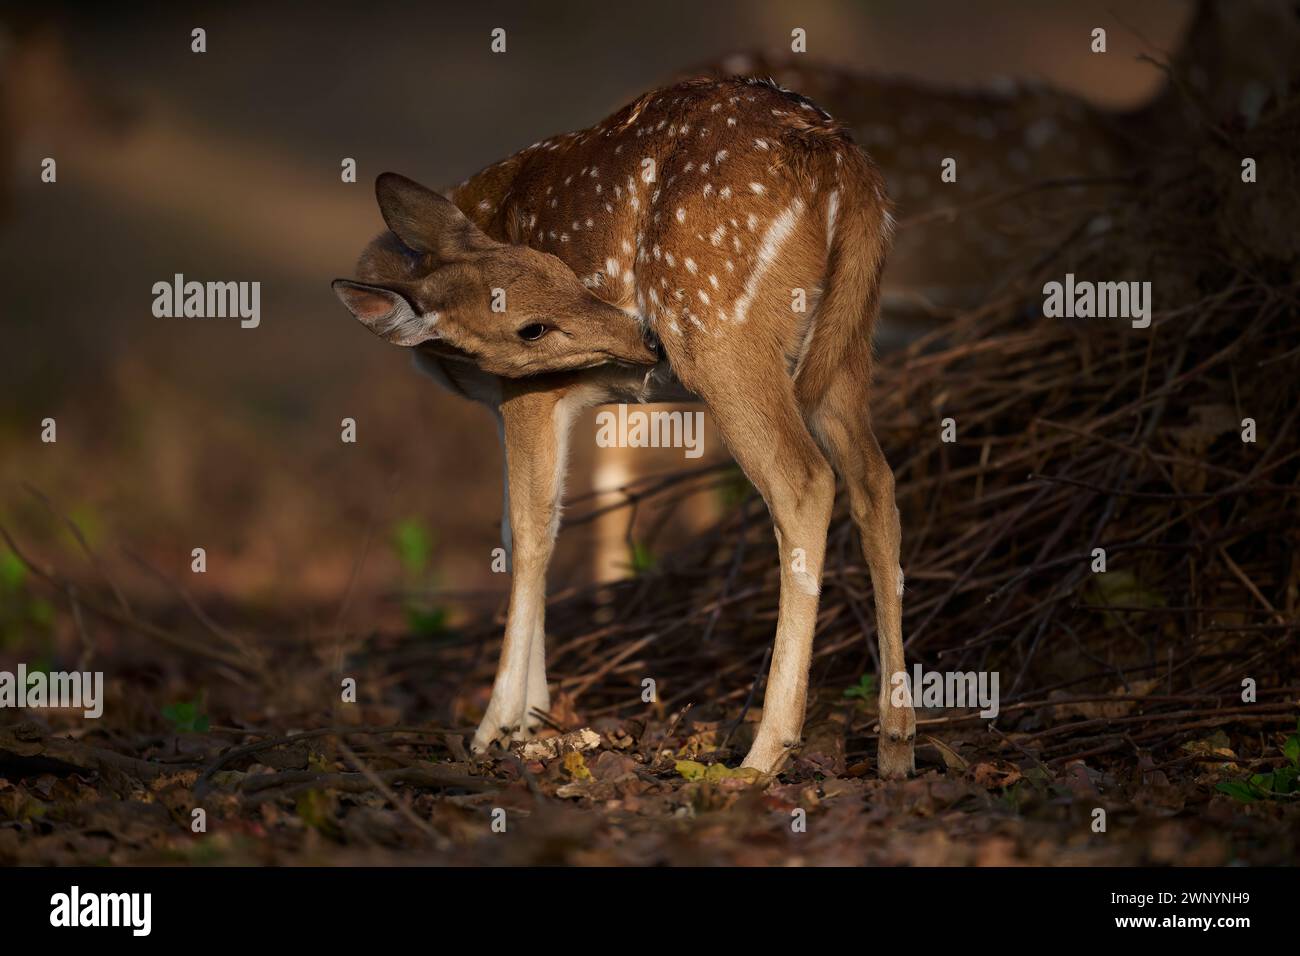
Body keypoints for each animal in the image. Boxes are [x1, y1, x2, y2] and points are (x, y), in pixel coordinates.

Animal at [332, 76, 913, 777]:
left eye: (561, 274)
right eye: (534, 318)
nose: (642, 341)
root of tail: (839, 163)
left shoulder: (528, 390)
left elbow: (529, 533)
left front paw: (499, 726)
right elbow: (532, 527)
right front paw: (535, 715)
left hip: (718, 325)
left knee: (802, 481)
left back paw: (763, 751)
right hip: (846, 343)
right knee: (876, 482)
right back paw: (896, 743)